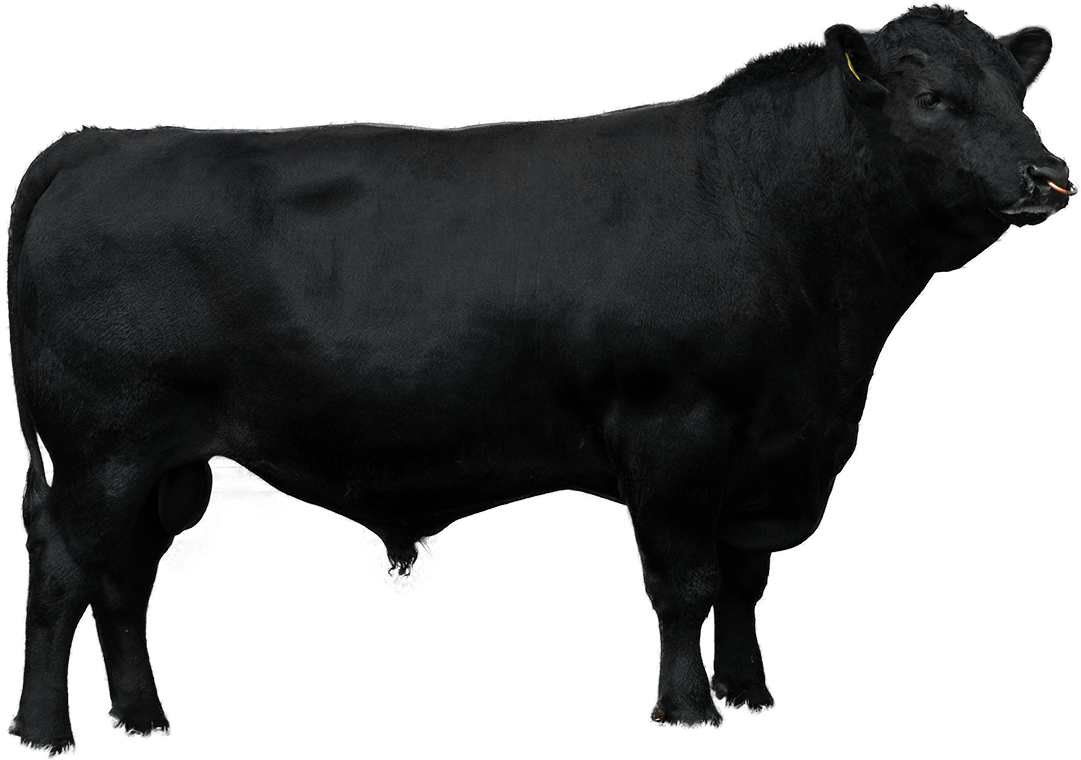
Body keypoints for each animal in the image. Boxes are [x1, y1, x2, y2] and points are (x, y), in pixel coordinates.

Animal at [6, 6, 1072, 755]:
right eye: (933, 100)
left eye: (1020, 97)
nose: (1046, 176)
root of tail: (113, 141)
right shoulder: (675, 427)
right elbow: (682, 581)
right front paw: (688, 710)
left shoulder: (772, 449)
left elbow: (743, 582)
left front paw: (752, 694)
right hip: (100, 446)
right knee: (64, 570)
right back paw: (44, 733)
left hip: (164, 468)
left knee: (124, 579)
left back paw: (143, 719)